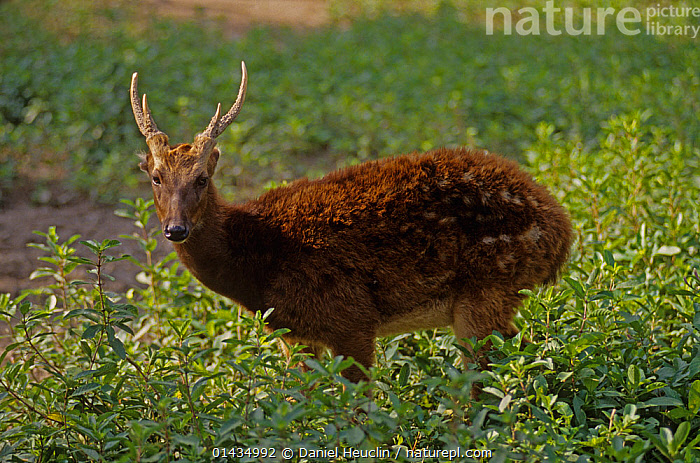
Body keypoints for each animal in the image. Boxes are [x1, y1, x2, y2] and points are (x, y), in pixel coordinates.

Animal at [130, 61, 573, 392]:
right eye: (156, 176)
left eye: (202, 178)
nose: (175, 230)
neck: (258, 265)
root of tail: (563, 231)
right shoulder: (292, 334)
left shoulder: (351, 317)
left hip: (487, 287)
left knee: (480, 383)